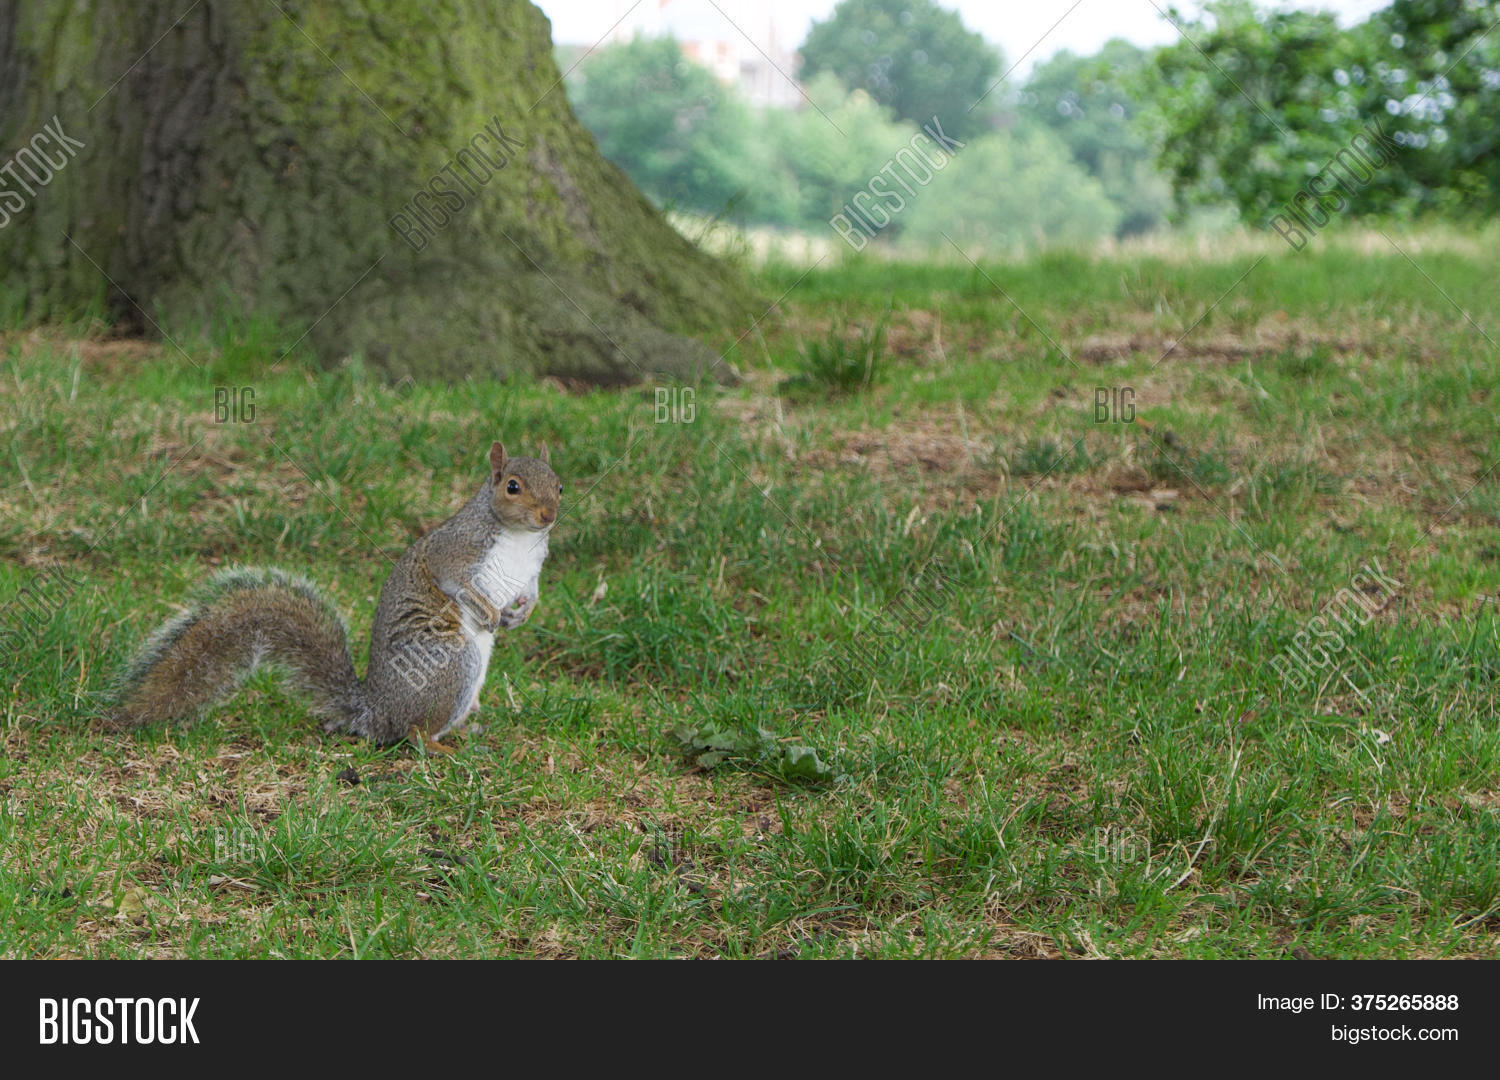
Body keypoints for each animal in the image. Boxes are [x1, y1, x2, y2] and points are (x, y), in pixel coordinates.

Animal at [111, 441, 561, 754]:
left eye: (559, 484)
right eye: (512, 487)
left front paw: (520, 614)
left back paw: (468, 733)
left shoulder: (533, 567)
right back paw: (439, 746)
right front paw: (488, 611)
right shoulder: (453, 551)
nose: (549, 516)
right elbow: (454, 581)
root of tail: (375, 710)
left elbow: (532, 591)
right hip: (450, 662)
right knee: (411, 733)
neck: (518, 537)